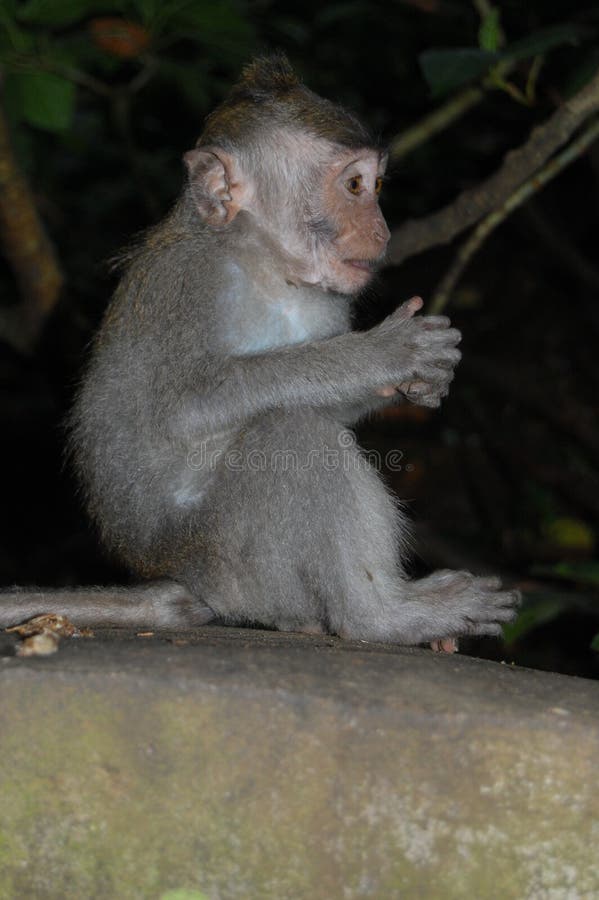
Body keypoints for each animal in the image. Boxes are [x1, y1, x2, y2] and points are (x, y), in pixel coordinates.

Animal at [0, 55, 520, 647]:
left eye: (378, 185)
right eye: (356, 185)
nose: (382, 228)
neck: (266, 266)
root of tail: (185, 582)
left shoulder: (328, 302)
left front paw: (419, 381)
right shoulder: (191, 283)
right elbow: (183, 406)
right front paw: (385, 354)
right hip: (234, 562)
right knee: (289, 434)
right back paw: (381, 617)